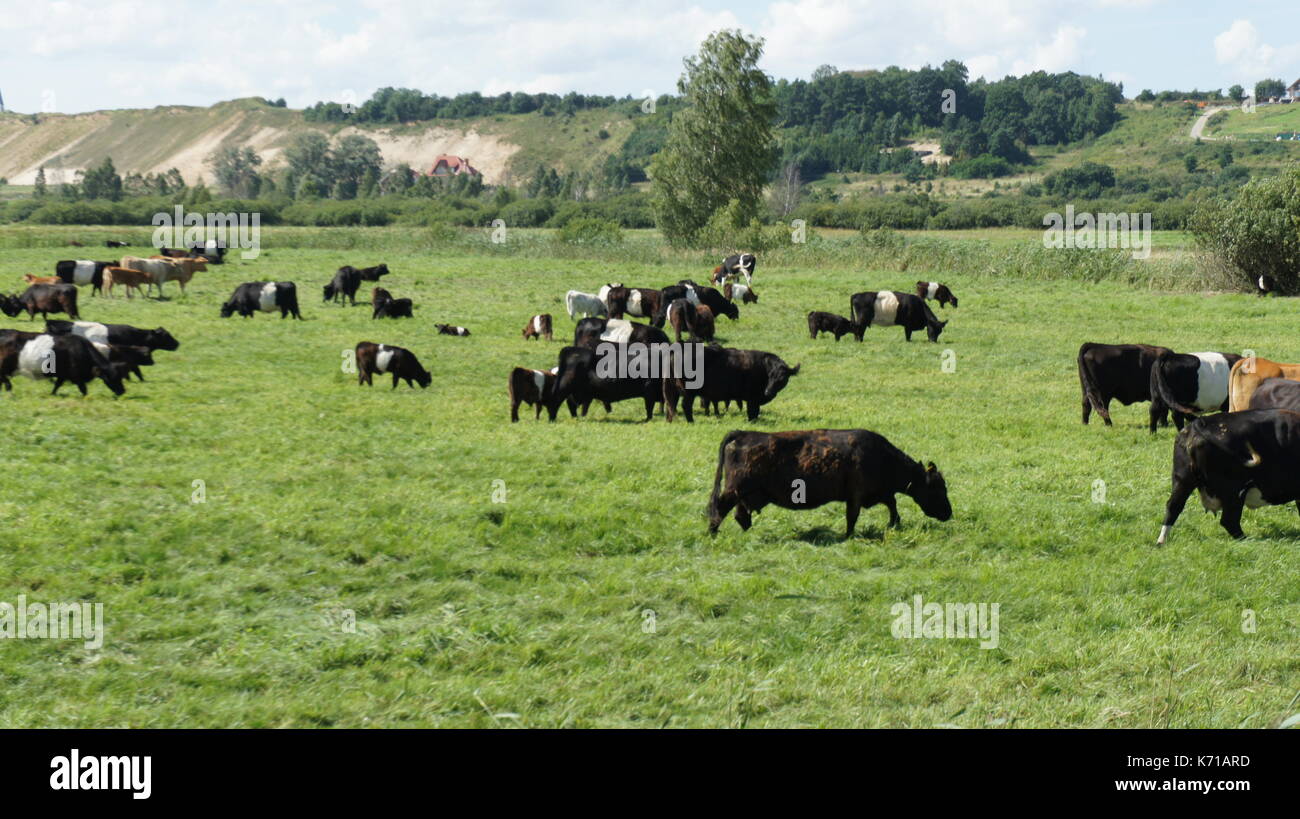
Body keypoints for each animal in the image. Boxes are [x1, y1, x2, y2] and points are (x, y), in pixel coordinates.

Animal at [665, 346, 800, 423]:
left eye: (782, 378)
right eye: (770, 375)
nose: (768, 392)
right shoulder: (752, 398)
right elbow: (752, 411)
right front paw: (752, 422)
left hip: (674, 389)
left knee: (672, 404)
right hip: (689, 392)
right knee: (685, 405)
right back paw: (691, 421)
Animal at [707, 429, 952, 538]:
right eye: (937, 488)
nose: (949, 513)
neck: (881, 456)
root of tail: (744, 434)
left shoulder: (878, 492)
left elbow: (892, 504)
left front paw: (894, 523)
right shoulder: (856, 495)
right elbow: (853, 516)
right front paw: (848, 536)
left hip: (744, 493)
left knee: (740, 514)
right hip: (733, 490)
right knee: (719, 508)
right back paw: (712, 533)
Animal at [1156, 409, 1300, 545]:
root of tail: (1201, 423)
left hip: (1183, 480)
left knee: (1173, 507)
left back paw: (1161, 542)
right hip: (1234, 490)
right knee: (1229, 520)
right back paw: (1246, 540)